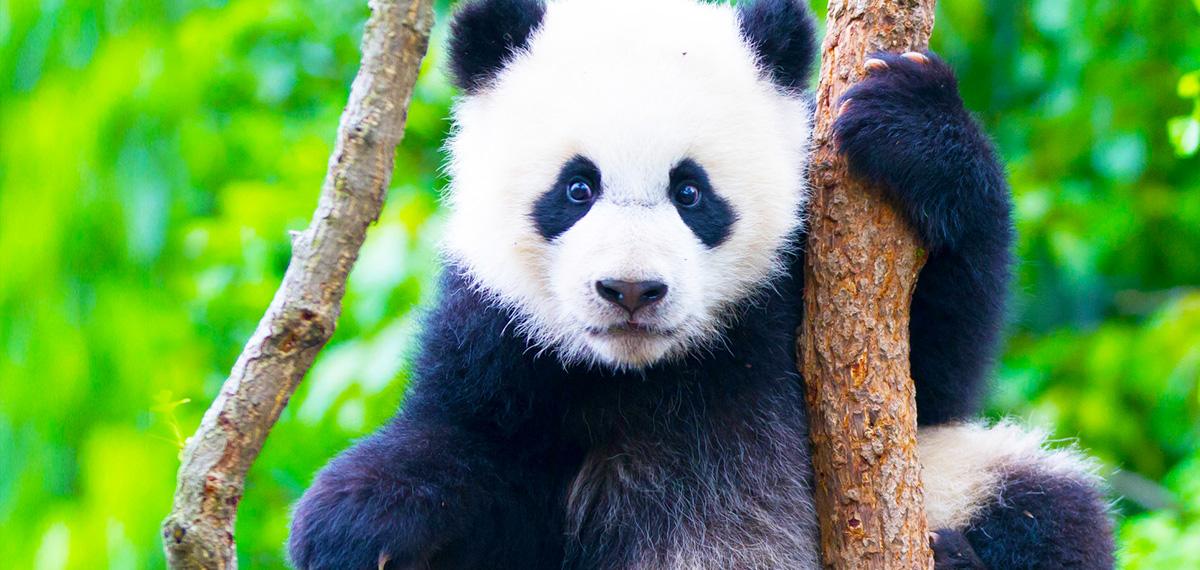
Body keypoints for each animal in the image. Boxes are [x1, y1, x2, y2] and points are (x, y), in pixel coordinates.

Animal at [288, 0, 1116, 568]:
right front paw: (356, 520)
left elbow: (937, 371)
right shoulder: (500, 335)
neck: (650, 372)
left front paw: (916, 126)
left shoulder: (799, 292)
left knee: (1051, 507)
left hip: (965, 483)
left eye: (691, 192)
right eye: (576, 189)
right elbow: (464, 446)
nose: (630, 291)